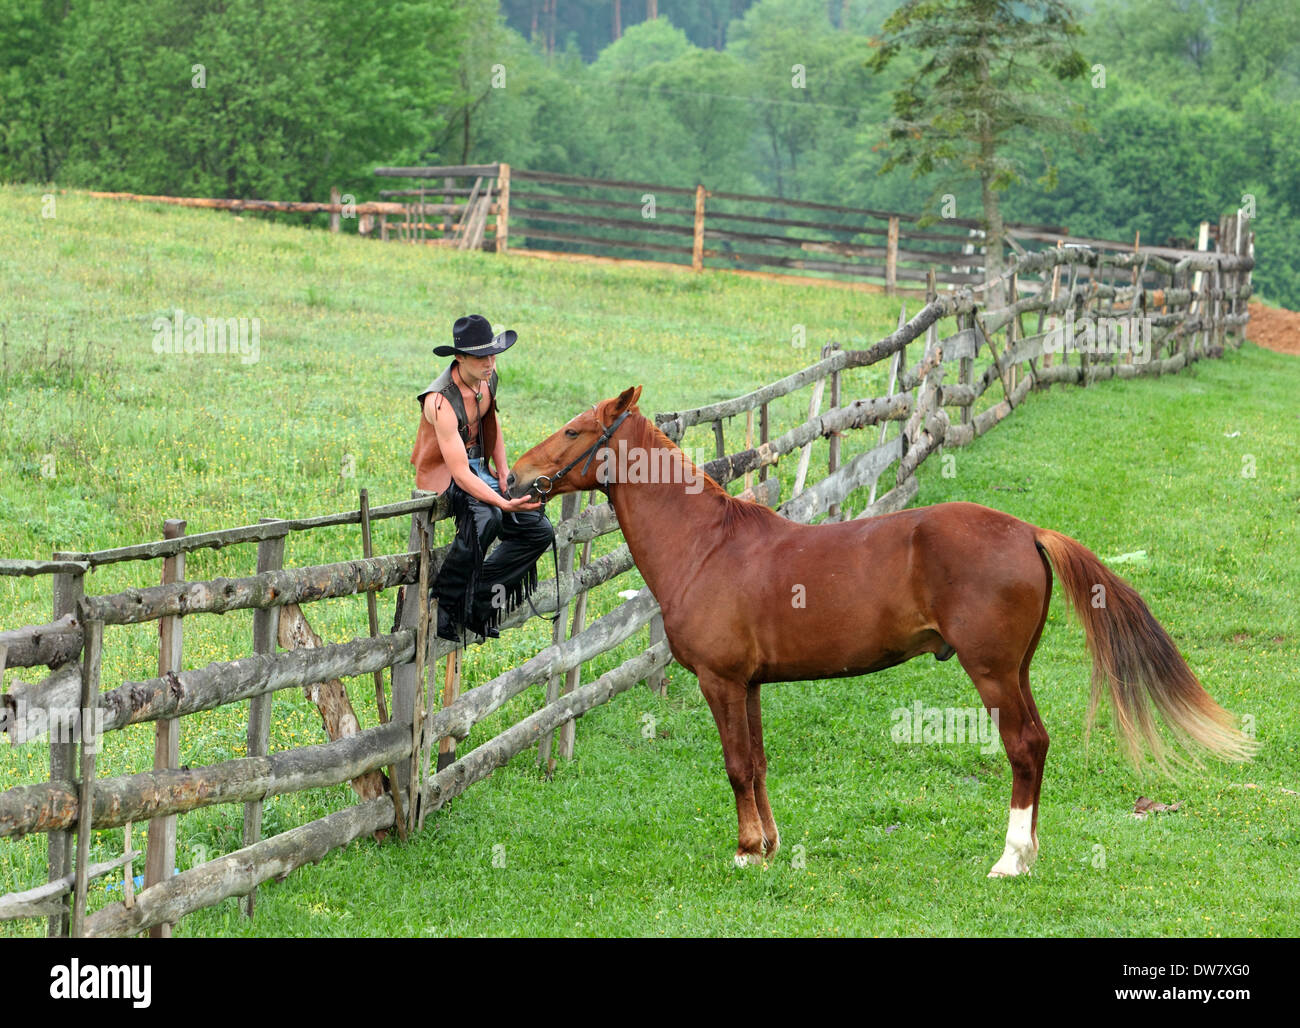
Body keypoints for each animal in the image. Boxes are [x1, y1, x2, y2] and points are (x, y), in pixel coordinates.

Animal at [507, 386, 1256, 875]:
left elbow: (736, 766)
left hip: (990, 671)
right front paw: (769, 846)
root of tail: (1026, 532)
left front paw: (746, 853)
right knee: (1039, 744)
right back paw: (1030, 852)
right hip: (1017, 669)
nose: (514, 474)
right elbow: (759, 763)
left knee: (1022, 746)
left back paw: (1009, 860)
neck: (707, 545)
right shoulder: (749, 684)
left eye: (574, 431)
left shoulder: (720, 681)